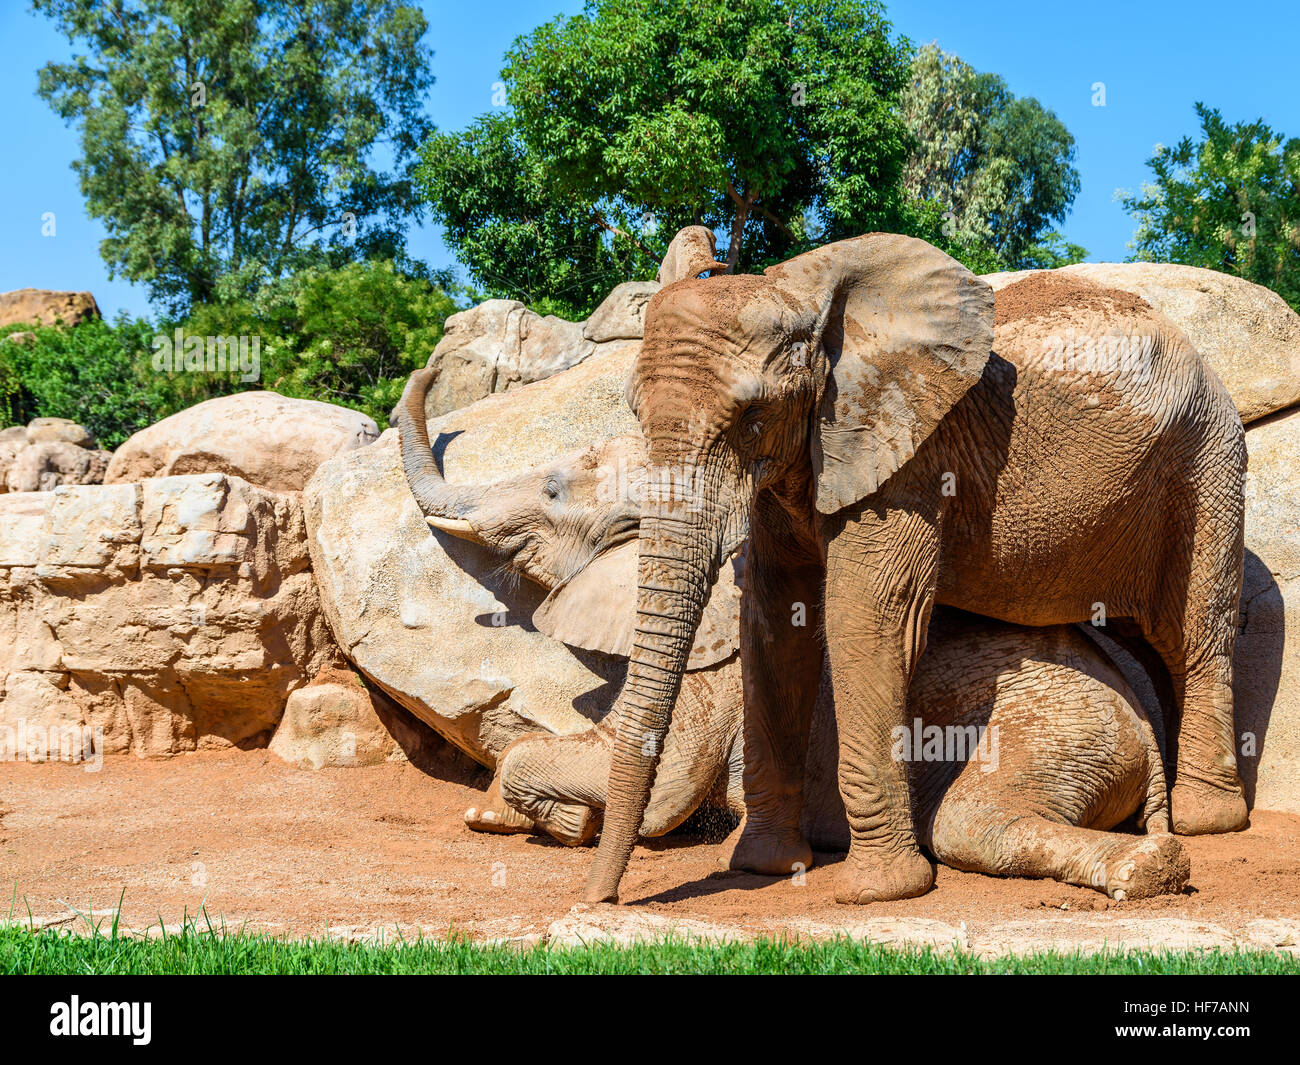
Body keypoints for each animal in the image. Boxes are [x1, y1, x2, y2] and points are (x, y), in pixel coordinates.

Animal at [569, 230, 1246, 905]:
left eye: (753, 417)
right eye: (633, 411)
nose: (601, 898)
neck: (801, 294)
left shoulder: (908, 457)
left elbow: (864, 617)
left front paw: (877, 892)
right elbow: (775, 618)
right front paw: (766, 866)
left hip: (1206, 459)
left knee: (1191, 638)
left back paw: (1193, 831)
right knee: (1153, 650)